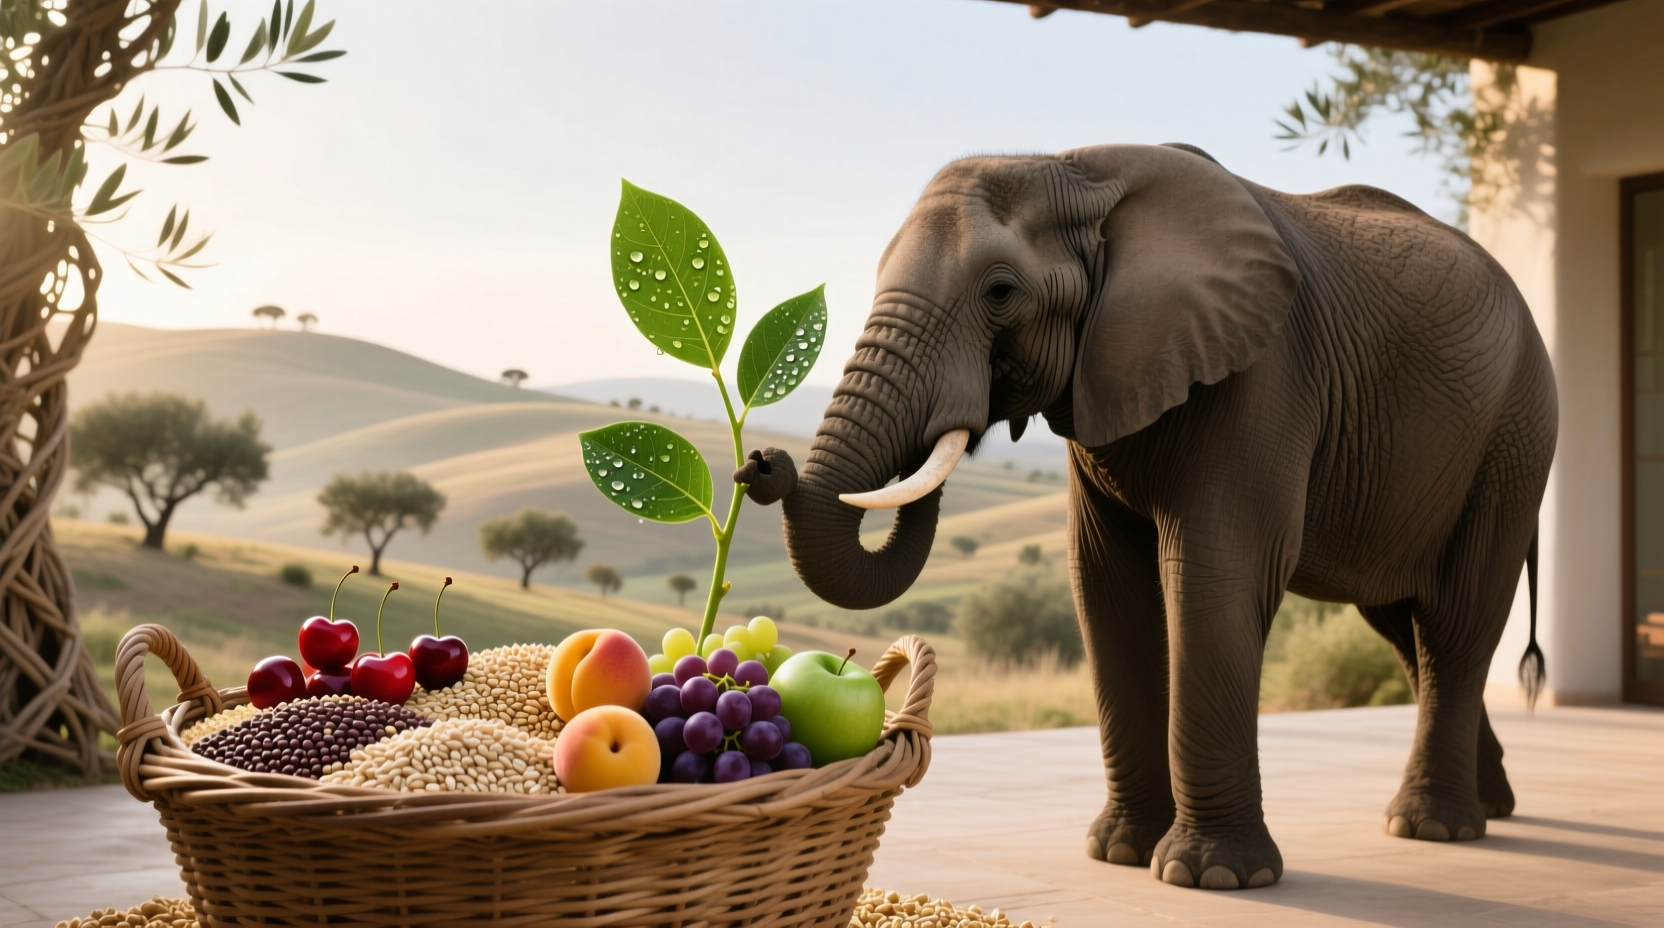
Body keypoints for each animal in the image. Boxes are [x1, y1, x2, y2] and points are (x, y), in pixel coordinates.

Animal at [736, 143, 1557, 890]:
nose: (761, 464)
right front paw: (1120, 854)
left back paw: (1434, 828)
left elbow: (1214, 577)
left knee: (1454, 619)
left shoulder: (1263, 376)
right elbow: (1108, 586)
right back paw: (1492, 806)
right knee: (1404, 630)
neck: (1079, 168)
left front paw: (1211, 876)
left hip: (1513, 437)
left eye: (1000, 291)